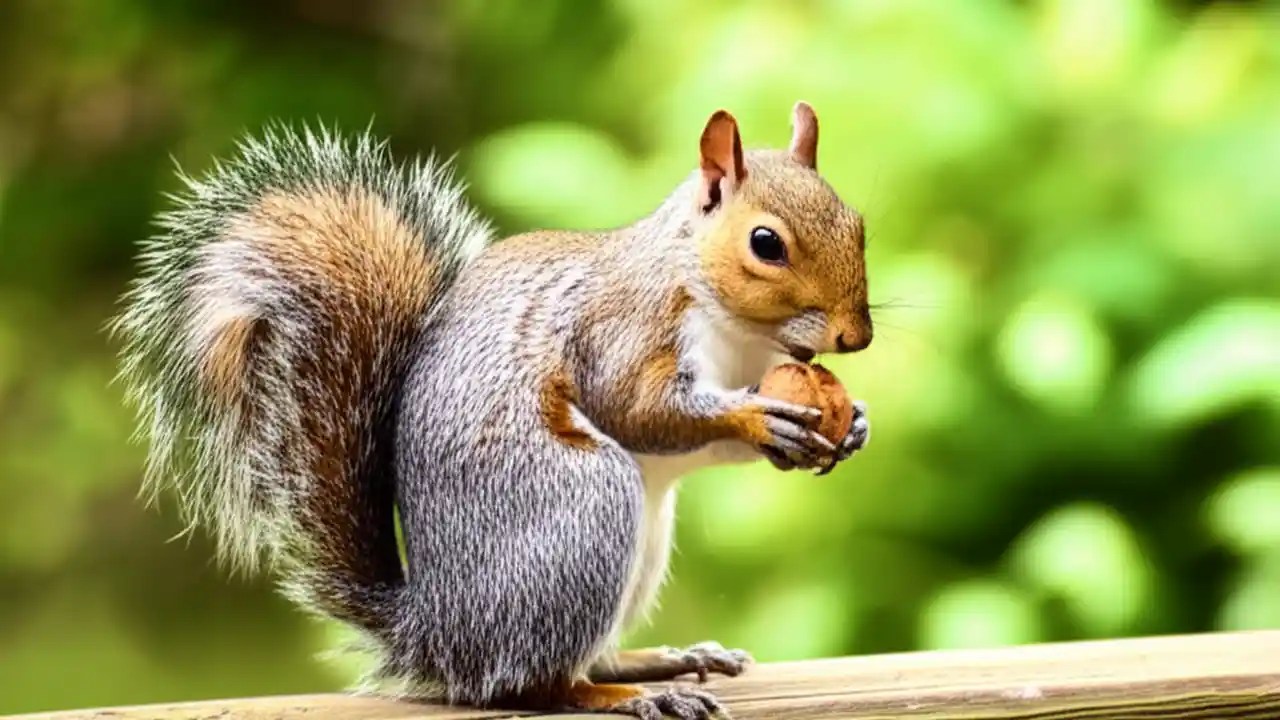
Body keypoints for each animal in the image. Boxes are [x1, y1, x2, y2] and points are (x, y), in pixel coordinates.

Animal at [113, 102, 872, 720]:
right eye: (766, 244)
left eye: (858, 224)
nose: (856, 338)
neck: (739, 331)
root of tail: (440, 636)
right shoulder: (622, 330)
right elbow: (638, 409)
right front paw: (760, 418)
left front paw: (853, 422)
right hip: (586, 506)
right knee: (534, 684)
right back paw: (625, 694)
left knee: (580, 655)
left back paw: (661, 661)